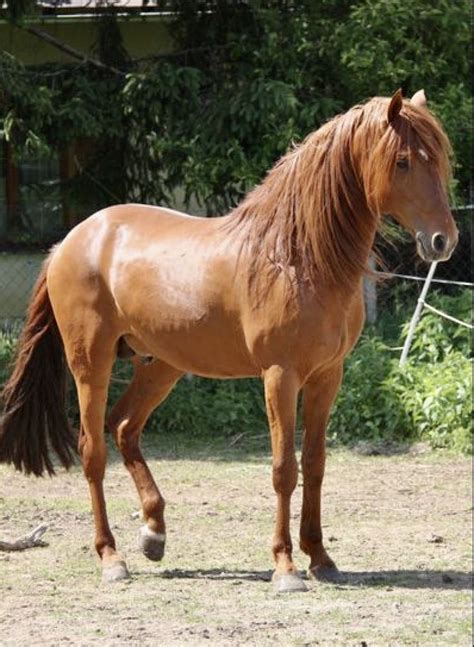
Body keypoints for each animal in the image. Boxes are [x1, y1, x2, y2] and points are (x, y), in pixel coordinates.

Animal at [0, 89, 458, 592]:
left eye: (439, 159)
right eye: (402, 161)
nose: (443, 240)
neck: (297, 258)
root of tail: (70, 240)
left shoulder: (327, 376)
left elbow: (315, 464)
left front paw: (321, 558)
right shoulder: (280, 376)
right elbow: (284, 469)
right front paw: (285, 566)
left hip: (160, 364)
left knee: (123, 427)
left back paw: (154, 533)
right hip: (91, 364)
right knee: (92, 452)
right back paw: (111, 558)